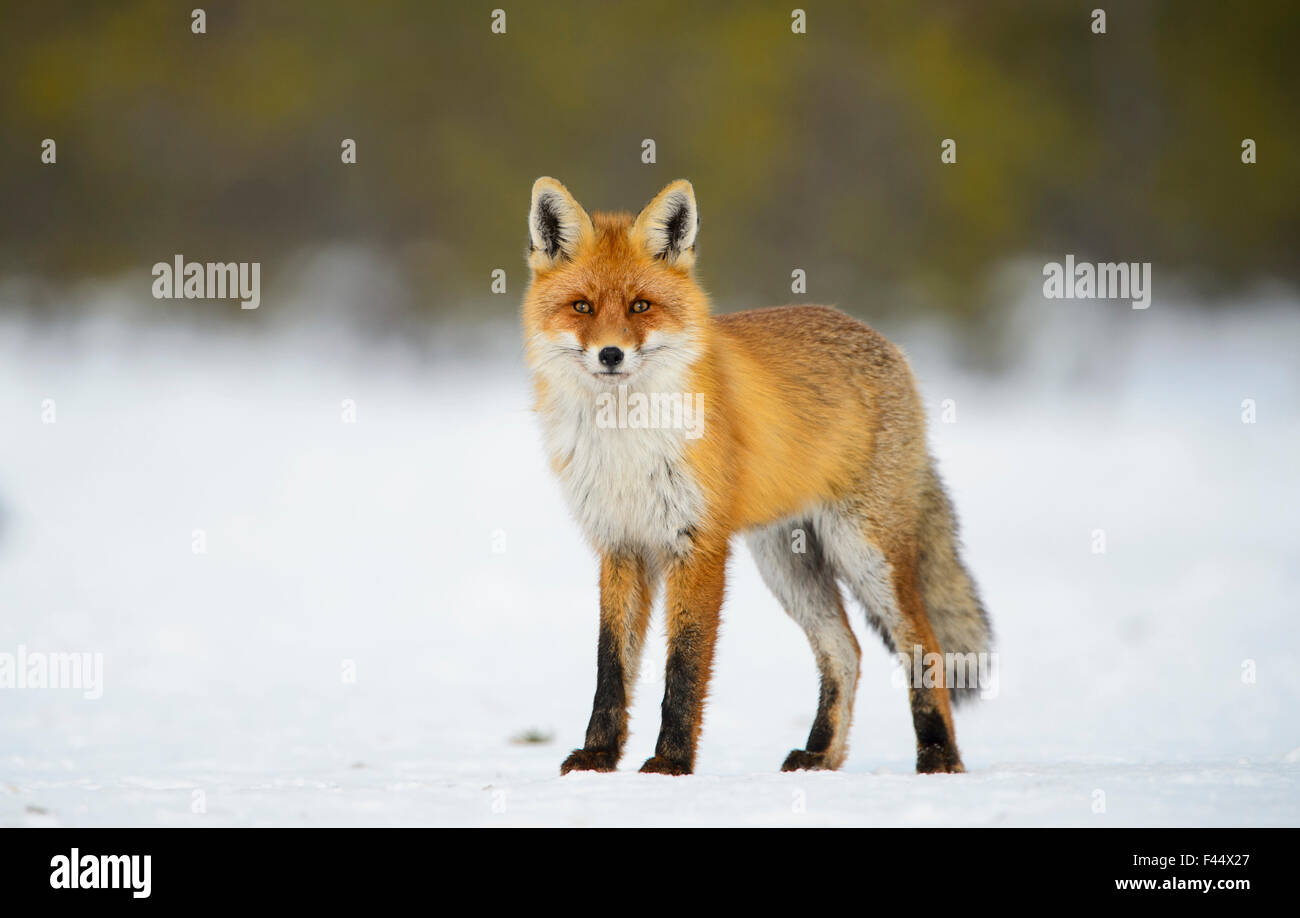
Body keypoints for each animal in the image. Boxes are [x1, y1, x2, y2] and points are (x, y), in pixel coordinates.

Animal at [522, 177, 991, 776]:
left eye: (640, 306)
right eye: (581, 306)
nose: (610, 354)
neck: (626, 440)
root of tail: (886, 343)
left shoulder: (698, 544)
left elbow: (684, 667)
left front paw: (671, 762)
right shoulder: (620, 543)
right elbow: (612, 666)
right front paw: (598, 756)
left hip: (864, 552)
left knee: (923, 644)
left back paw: (938, 757)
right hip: (786, 563)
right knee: (846, 650)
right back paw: (821, 755)